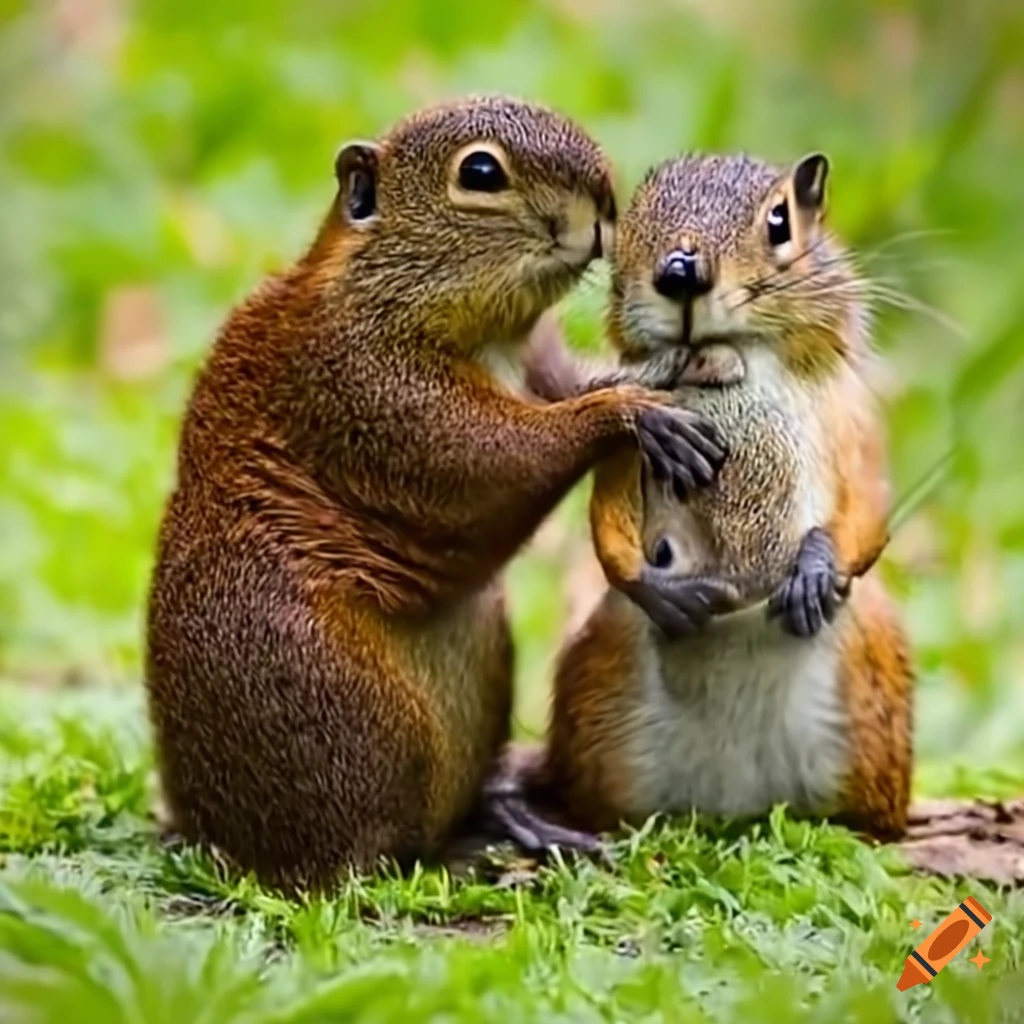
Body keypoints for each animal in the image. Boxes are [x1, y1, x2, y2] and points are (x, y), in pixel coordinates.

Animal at [144, 96, 729, 892]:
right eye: (480, 173)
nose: (606, 207)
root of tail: (207, 828)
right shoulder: (364, 389)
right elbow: (495, 457)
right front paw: (630, 414)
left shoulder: (535, 362)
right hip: (333, 702)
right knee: (360, 859)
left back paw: (512, 820)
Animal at [521, 151, 914, 843]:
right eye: (629, 216)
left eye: (781, 221)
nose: (681, 271)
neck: (727, 358)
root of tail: (732, 807)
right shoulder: (623, 439)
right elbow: (607, 524)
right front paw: (656, 587)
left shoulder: (851, 416)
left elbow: (869, 510)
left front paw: (816, 568)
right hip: (597, 687)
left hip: (875, 707)